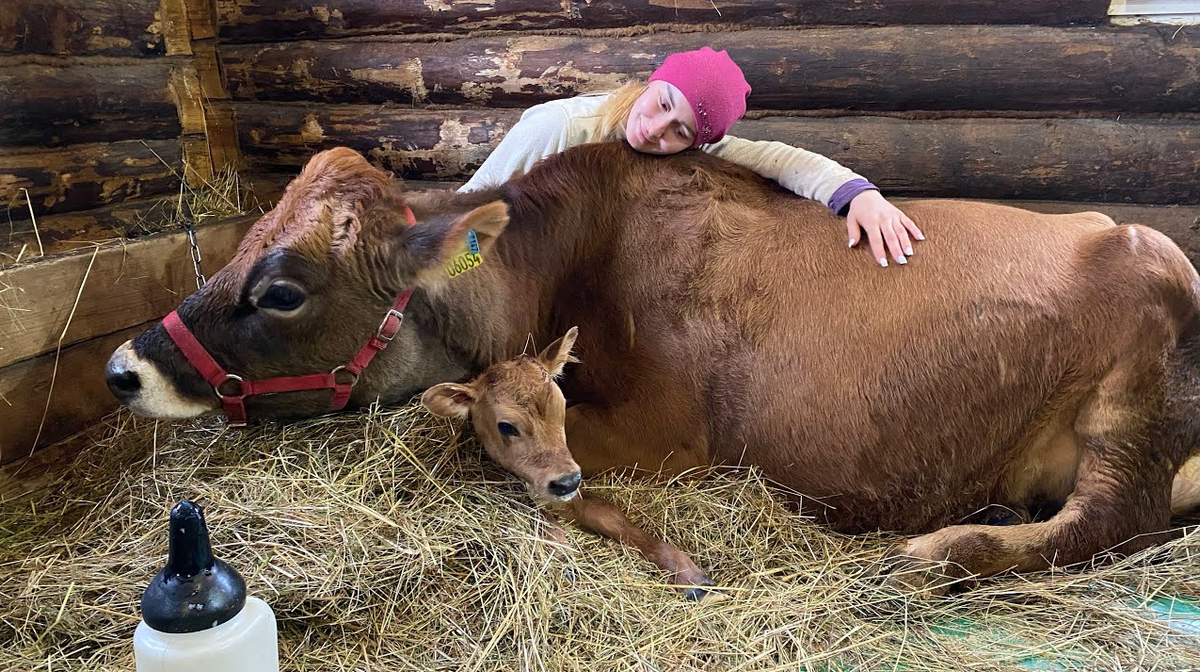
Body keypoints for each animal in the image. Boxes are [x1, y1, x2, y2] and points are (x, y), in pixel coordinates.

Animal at [422, 328, 715, 600]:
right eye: (505, 426)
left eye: (561, 406)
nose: (568, 481)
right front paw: (565, 560)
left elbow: (607, 514)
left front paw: (691, 576)